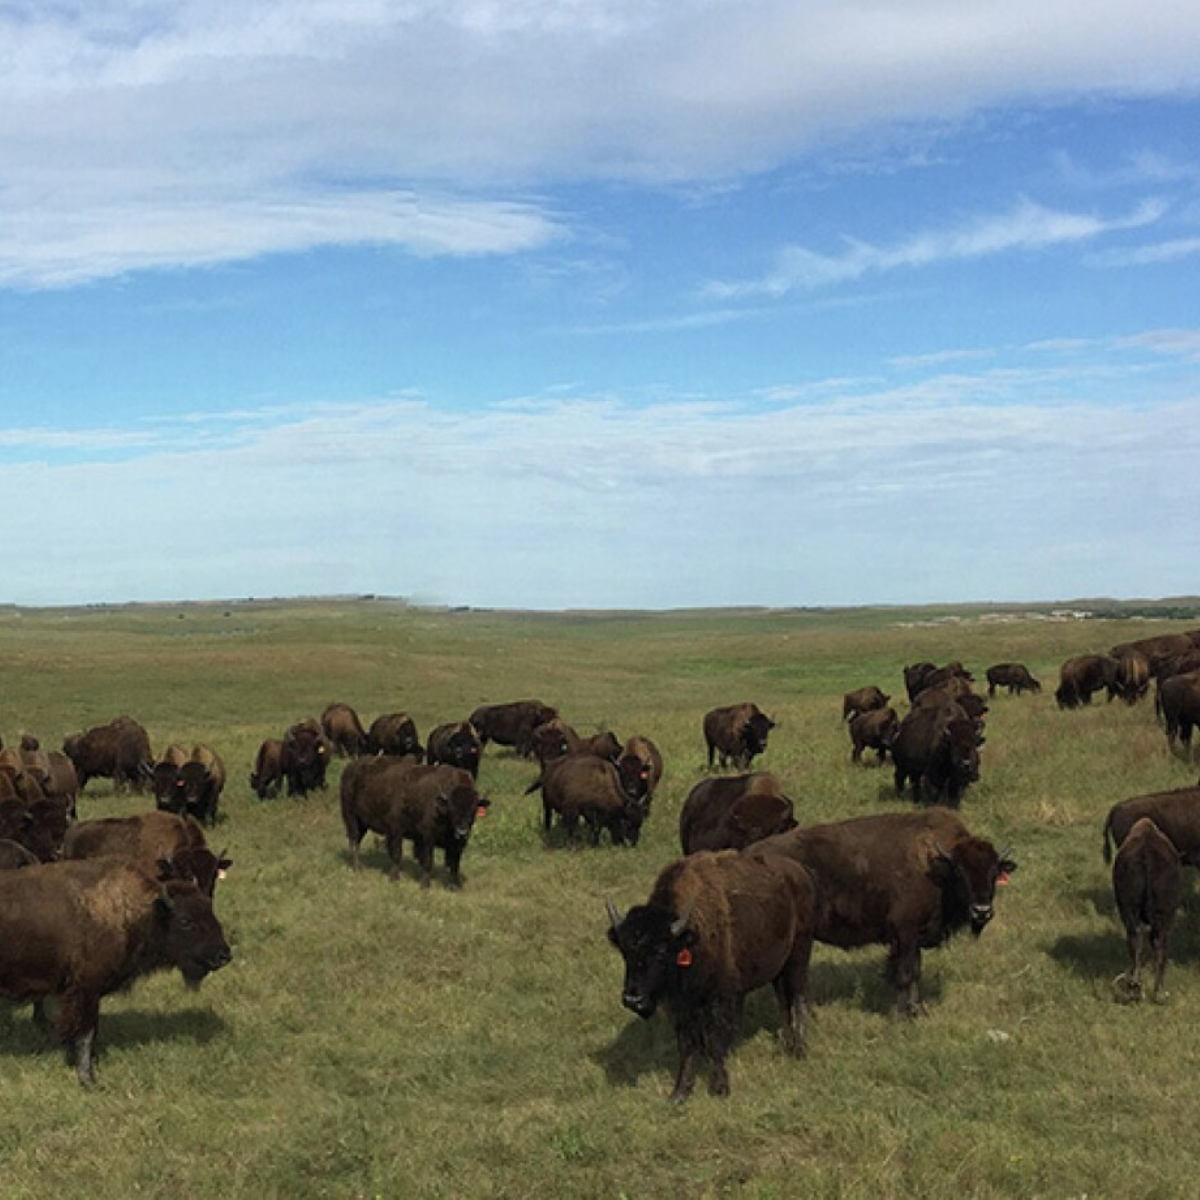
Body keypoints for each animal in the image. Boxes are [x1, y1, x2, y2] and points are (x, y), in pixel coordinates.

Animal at [0, 859, 232, 1085]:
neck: (134, 911)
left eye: (210, 913)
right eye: (185, 921)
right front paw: (89, 1080)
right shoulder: (86, 990)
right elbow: (86, 1034)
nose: (224, 955)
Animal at [340, 756, 488, 888]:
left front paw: (455, 886)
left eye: (474, 809)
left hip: (363, 823)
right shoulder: (417, 835)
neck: (440, 805)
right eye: (452, 808)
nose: (462, 832)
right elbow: (414, 858)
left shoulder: (458, 845)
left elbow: (454, 866)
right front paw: (415, 883)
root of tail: (349, 768)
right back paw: (357, 867)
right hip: (351, 818)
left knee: (356, 842)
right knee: (354, 841)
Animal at [605, 847, 817, 1102]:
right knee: (783, 1000)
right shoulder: (681, 1009)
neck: (688, 938)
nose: (632, 999)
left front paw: (720, 1088)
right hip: (779, 965)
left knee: (798, 996)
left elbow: (715, 1041)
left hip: (800, 953)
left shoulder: (720, 998)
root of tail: (800, 872)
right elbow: (687, 1046)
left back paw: (799, 1049)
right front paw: (679, 1093)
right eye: (625, 951)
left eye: (661, 951)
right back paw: (785, 1042)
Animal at [758, 808, 1016, 1017]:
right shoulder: (905, 932)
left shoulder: (913, 938)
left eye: (994, 872)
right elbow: (905, 974)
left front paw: (915, 1011)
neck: (935, 867)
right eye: (960, 872)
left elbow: (914, 972)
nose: (982, 911)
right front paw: (903, 1016)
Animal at [1112, 817, 1182, 1003]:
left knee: (1135, 941)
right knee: (1160, 945)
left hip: (1129, 911)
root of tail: (1146, 857)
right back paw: (1159, 993)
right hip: (1165, 917)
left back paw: (1134, 989)